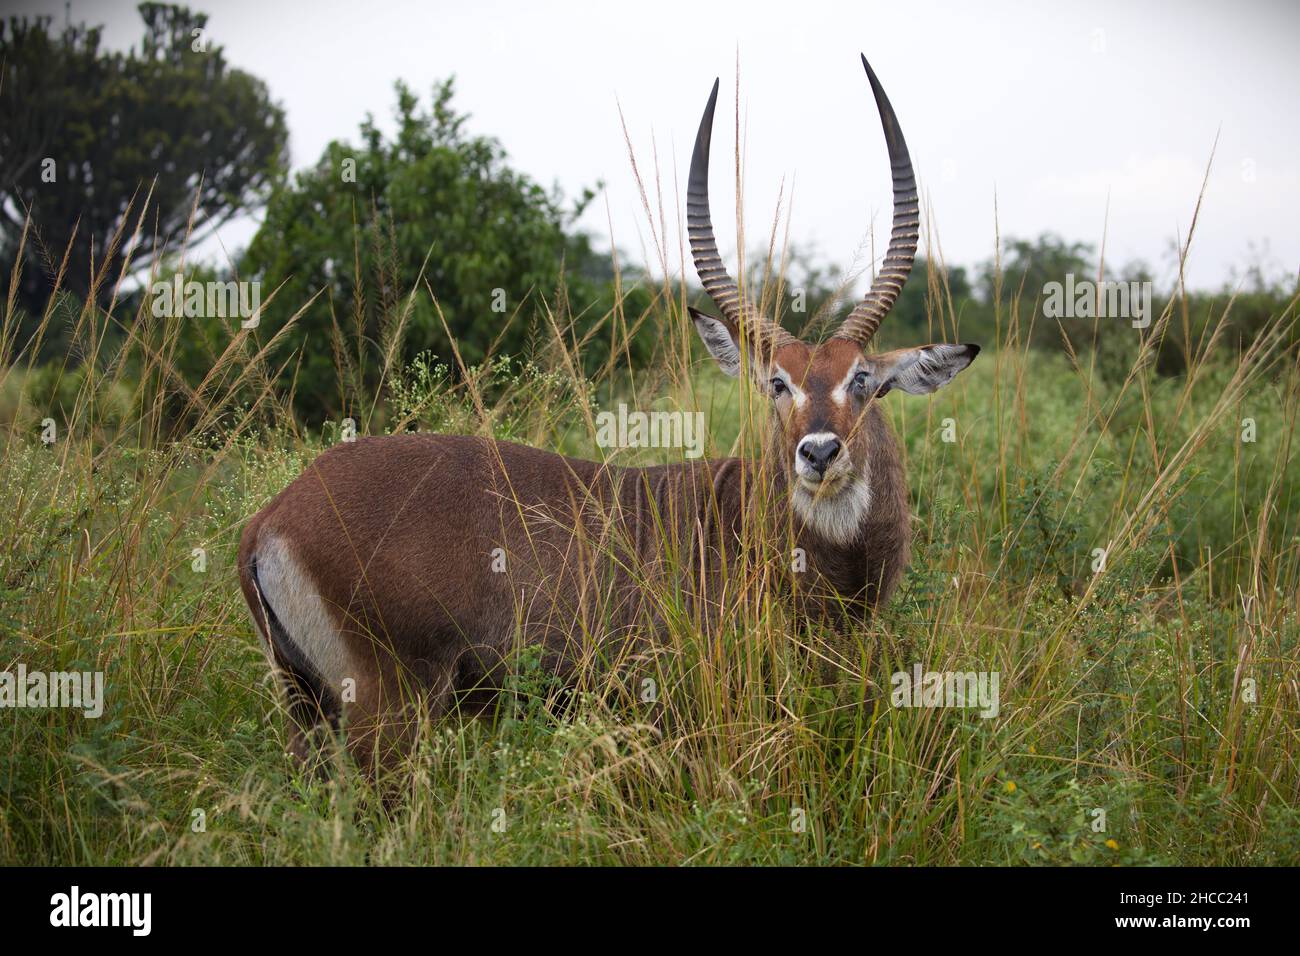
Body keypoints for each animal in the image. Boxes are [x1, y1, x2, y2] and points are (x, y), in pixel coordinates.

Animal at [237, 54, 979, 770]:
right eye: (777, 383)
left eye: (865, 379)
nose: (820, 453)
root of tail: (270, 516)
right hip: (389, 714)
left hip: (309, 712)